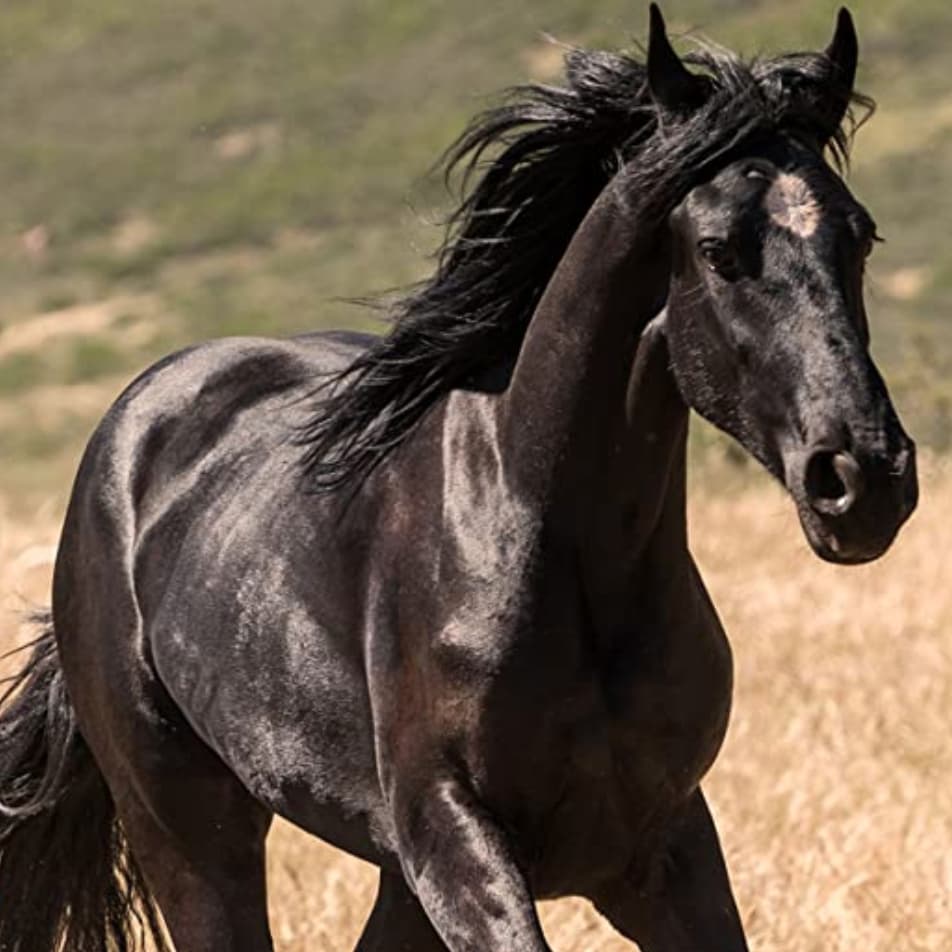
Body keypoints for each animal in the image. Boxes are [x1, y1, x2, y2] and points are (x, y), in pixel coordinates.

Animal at [0, 6, 918, 951]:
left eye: (861, 234)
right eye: (717, 250)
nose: (863, 478)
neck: (553, 552)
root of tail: (132, 430)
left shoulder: (662, 846)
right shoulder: (454, 835)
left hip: (385, 871)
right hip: (189, 827)